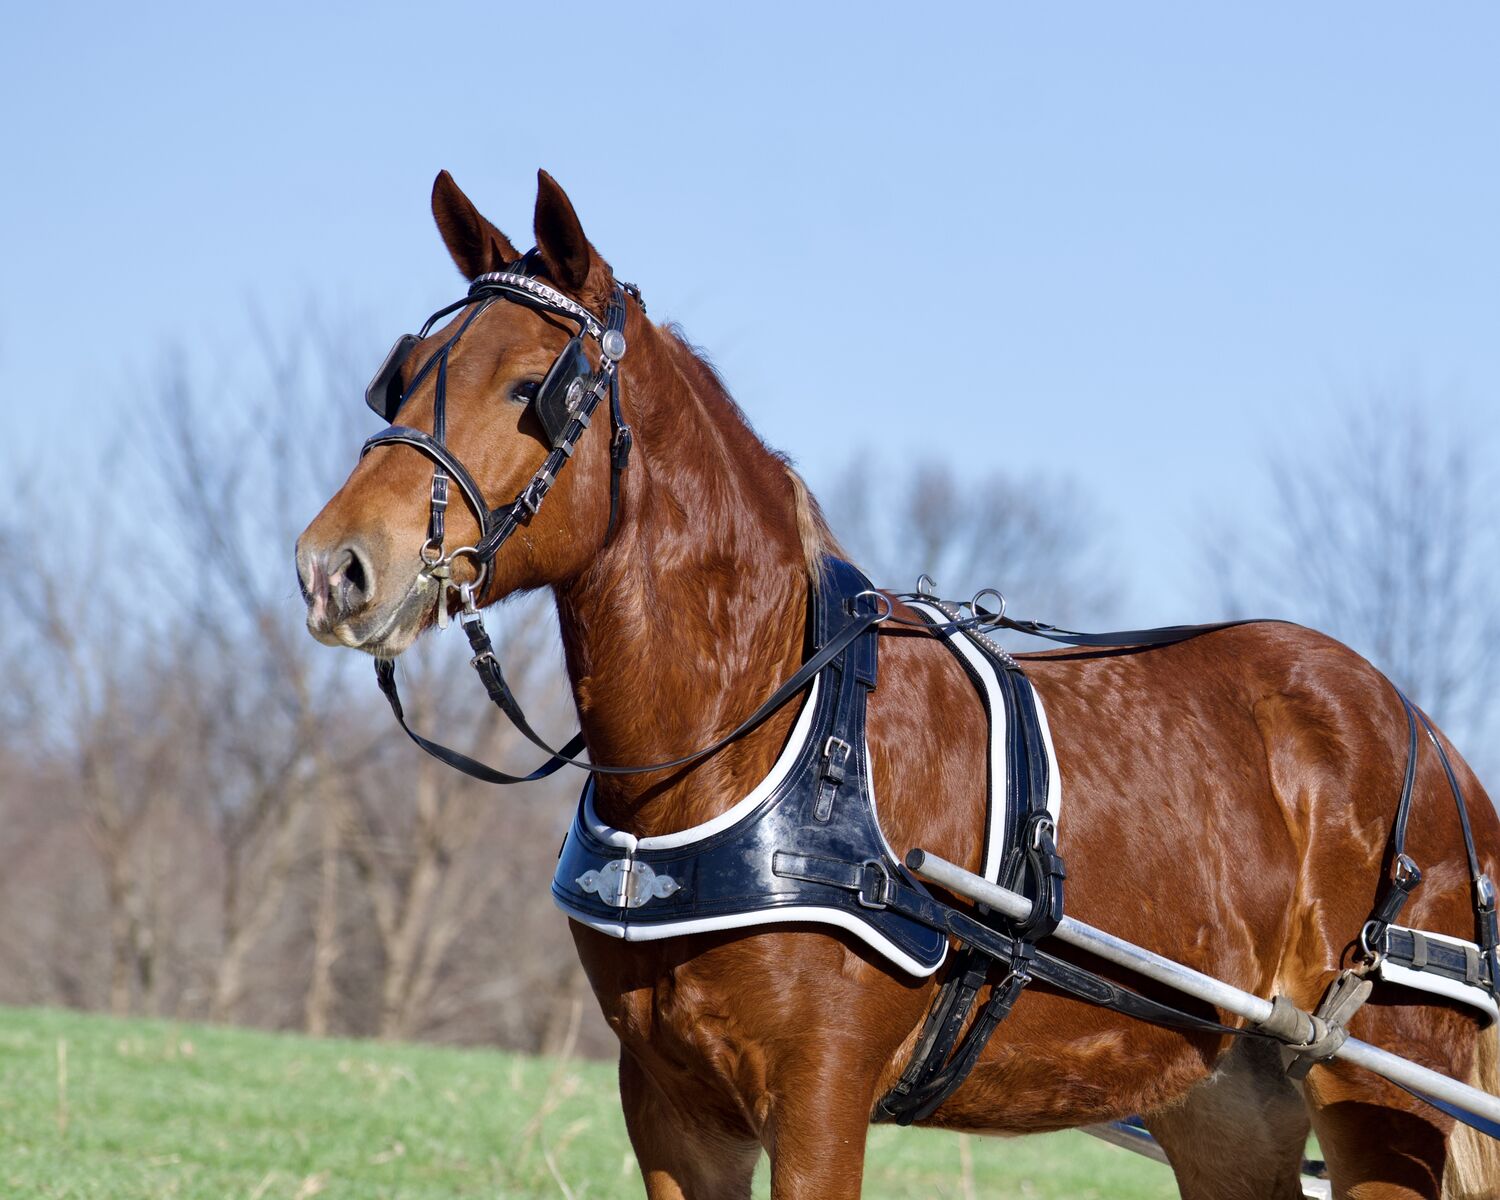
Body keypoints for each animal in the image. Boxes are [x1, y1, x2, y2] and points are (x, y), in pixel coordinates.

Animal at [296, 169, 1500, 1200]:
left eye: (528, 389)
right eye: (402, 376)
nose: (332, 567)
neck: (758, 728)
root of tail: (1427, 735)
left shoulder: (819, 1100)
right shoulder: (672, 1109)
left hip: (1385, 1090)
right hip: (1227, 1103)